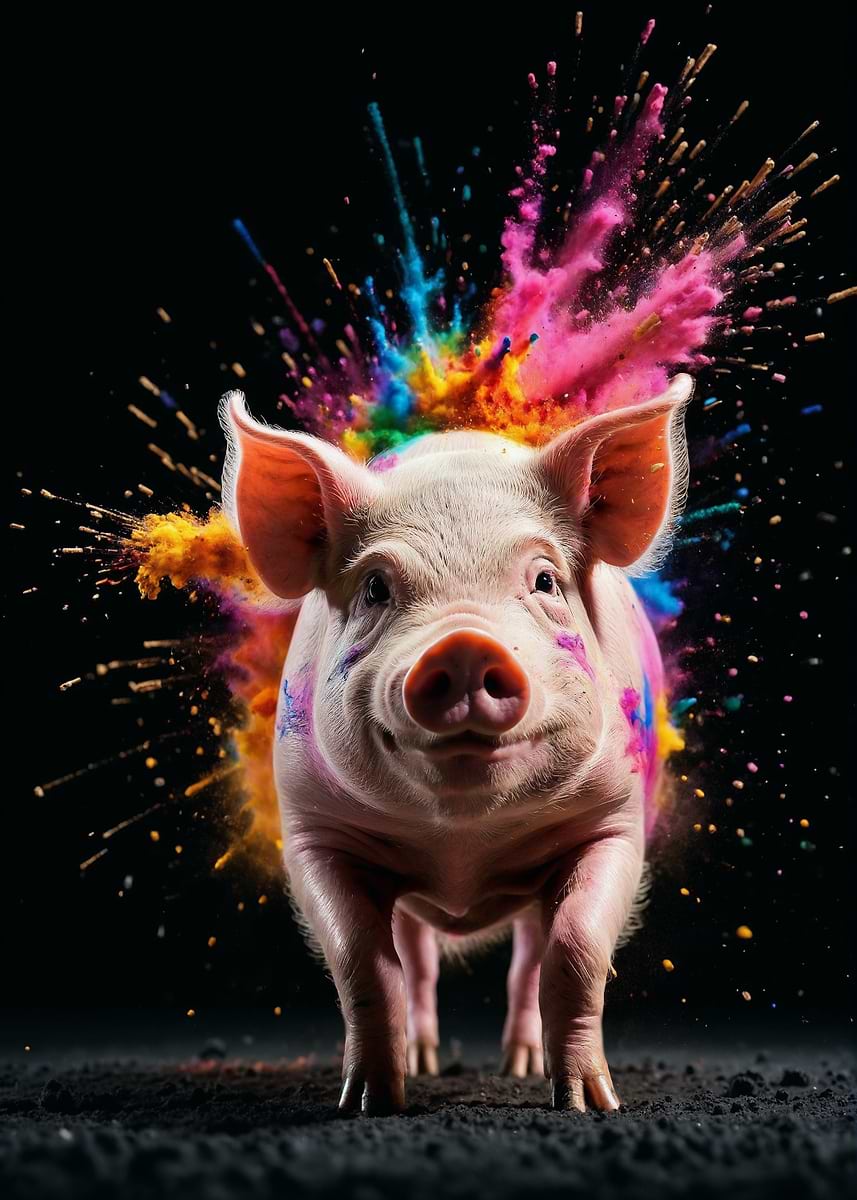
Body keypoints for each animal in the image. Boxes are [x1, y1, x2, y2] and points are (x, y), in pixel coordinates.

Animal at [220, 371, 692, 1114]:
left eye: (544, 580)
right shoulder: (313, 828)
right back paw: (425, 1062)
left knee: (527, 956)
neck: (461, 846)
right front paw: (370, 1103)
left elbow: (576, 948)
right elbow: (361, 959)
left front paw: (590, 1104)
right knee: (415, 957)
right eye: (375, 587)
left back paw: (519, 1067)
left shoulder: (613, 822)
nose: (465, 644)